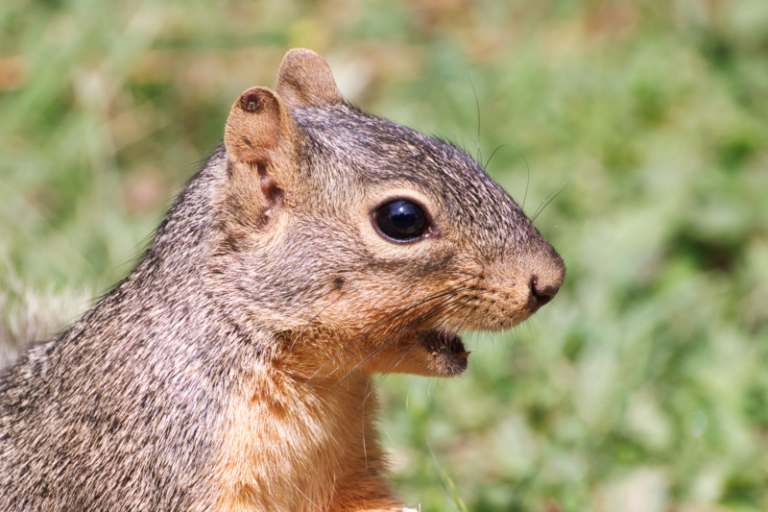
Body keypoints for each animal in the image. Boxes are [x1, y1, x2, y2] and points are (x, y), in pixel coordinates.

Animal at [0, 49, 565, 511]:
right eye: (401, 219)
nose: (550, 281)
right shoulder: (159, 460)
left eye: (460, 156)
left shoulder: (350, 478)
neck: (315, 384)